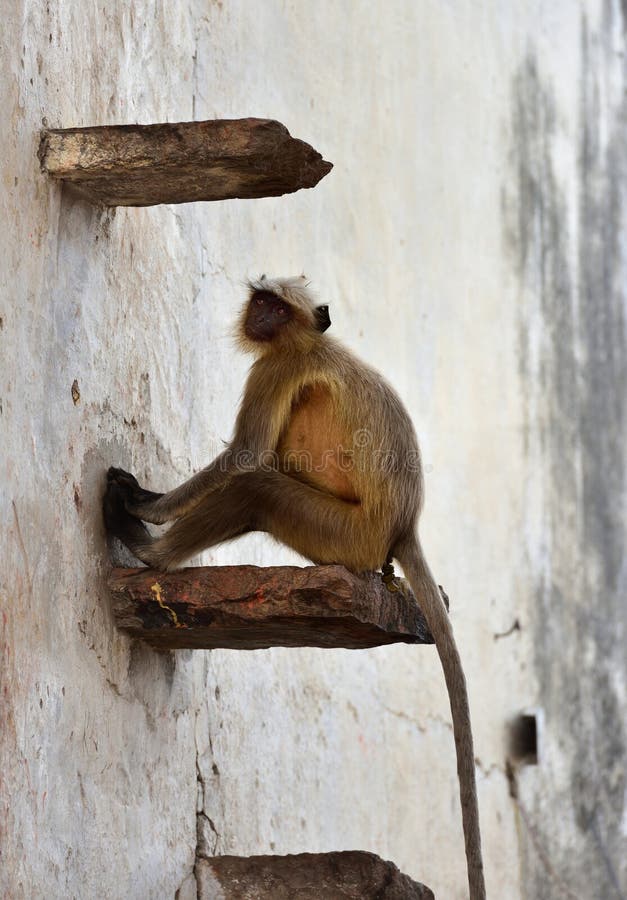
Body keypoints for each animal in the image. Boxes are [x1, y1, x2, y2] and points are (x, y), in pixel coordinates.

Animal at [103, 275, 486, 900]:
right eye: (261, 300)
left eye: (277, 308)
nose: (260, 317)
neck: (309, 344)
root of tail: (403, 526)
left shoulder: (277, 369)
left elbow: (243, 457)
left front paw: (145, 506)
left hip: (344, 535)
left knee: (257, 485)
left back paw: (146, 550)